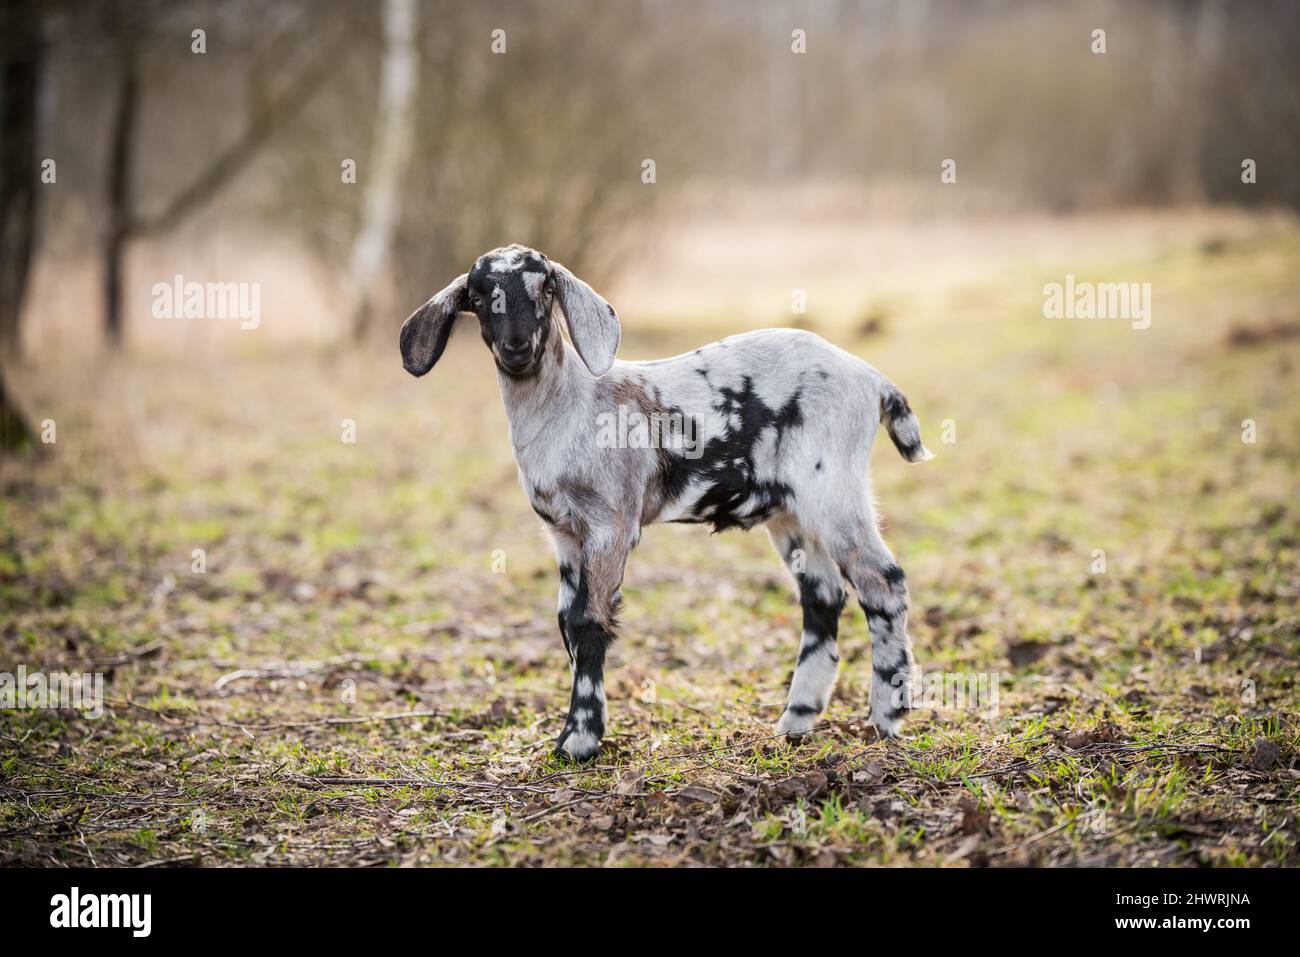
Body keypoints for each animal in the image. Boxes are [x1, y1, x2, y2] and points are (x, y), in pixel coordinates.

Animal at [400, 244, 932, 761]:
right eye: (477, 294)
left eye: (545, 288)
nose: (517, 347)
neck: (571, 405)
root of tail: (872, 379)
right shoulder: (564, 534)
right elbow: (566, 624)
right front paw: (573, 733)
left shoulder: (610, 524)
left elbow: (588, 624)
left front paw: (580, 742)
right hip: (791, 512)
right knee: (823, 597)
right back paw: (795, 722)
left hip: (833, 489)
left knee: (882, 583)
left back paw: (886, 717)